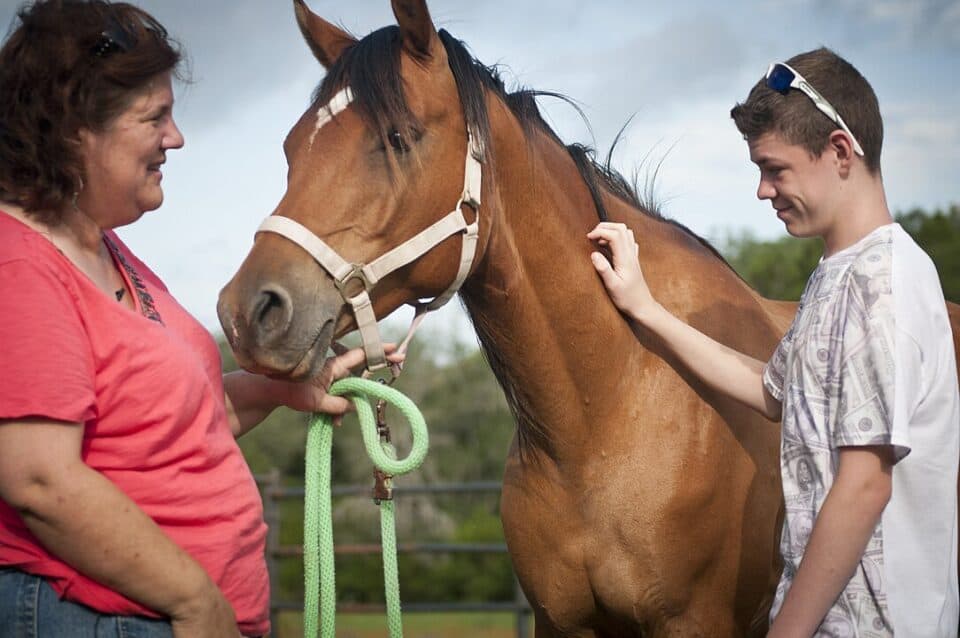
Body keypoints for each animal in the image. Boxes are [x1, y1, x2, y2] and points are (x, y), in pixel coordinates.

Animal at [216, 1, 960, 635]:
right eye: (291, 148)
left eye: (398, 138)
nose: (248, 311)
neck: (606, 412)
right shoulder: (561, 622)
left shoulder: (695, 623)